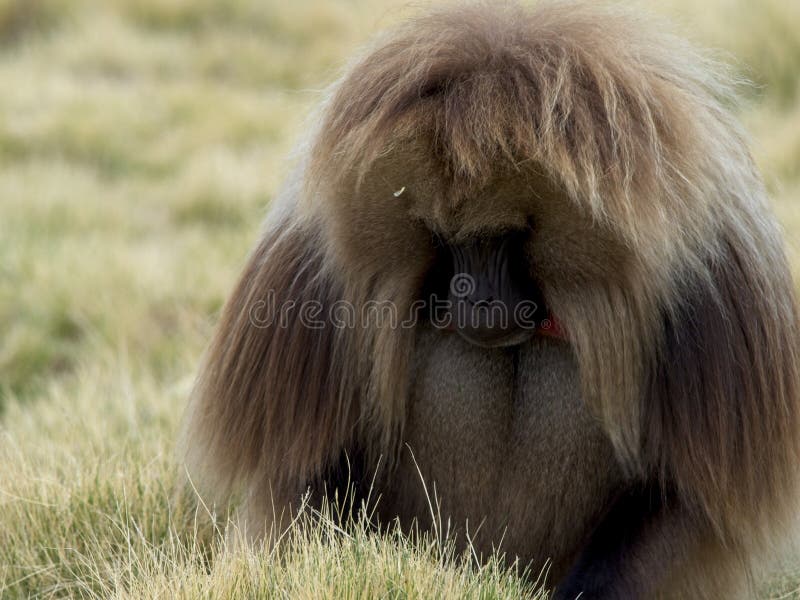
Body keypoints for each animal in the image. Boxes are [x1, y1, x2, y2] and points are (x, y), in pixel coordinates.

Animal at [180, 2, 800, 598]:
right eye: (444, 237)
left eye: (503, 235)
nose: (475, 301)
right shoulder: (313, 275)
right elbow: (304, 471)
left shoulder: (716, 283)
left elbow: (687, 497)